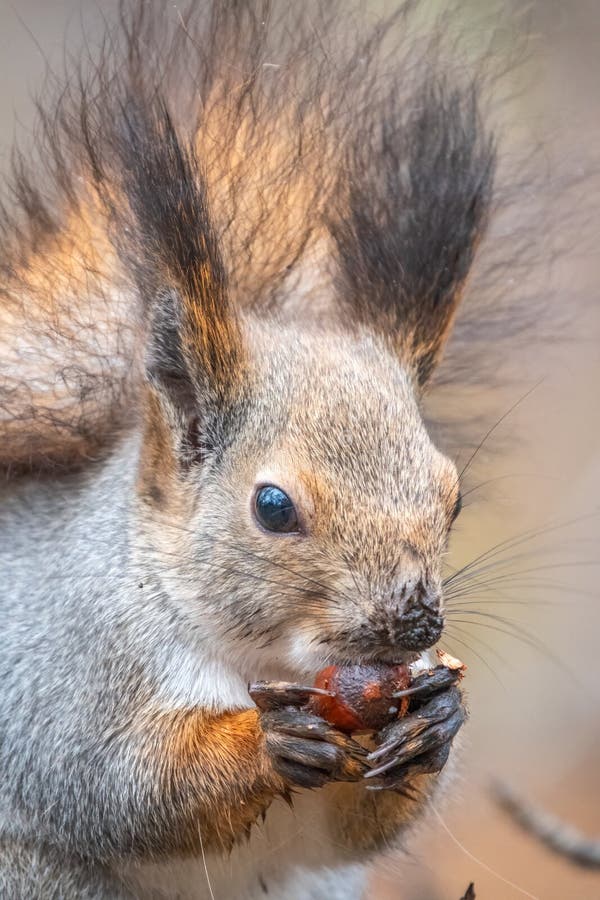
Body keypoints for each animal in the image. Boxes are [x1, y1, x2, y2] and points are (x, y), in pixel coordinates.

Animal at [0, 2, 497, 898]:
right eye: (272, 507)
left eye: (453, 498)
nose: (413, 621)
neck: (261, 661)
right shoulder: (64, 681)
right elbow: (122, 783)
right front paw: (265, 742)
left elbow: (361, 826)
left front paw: (436, 723)